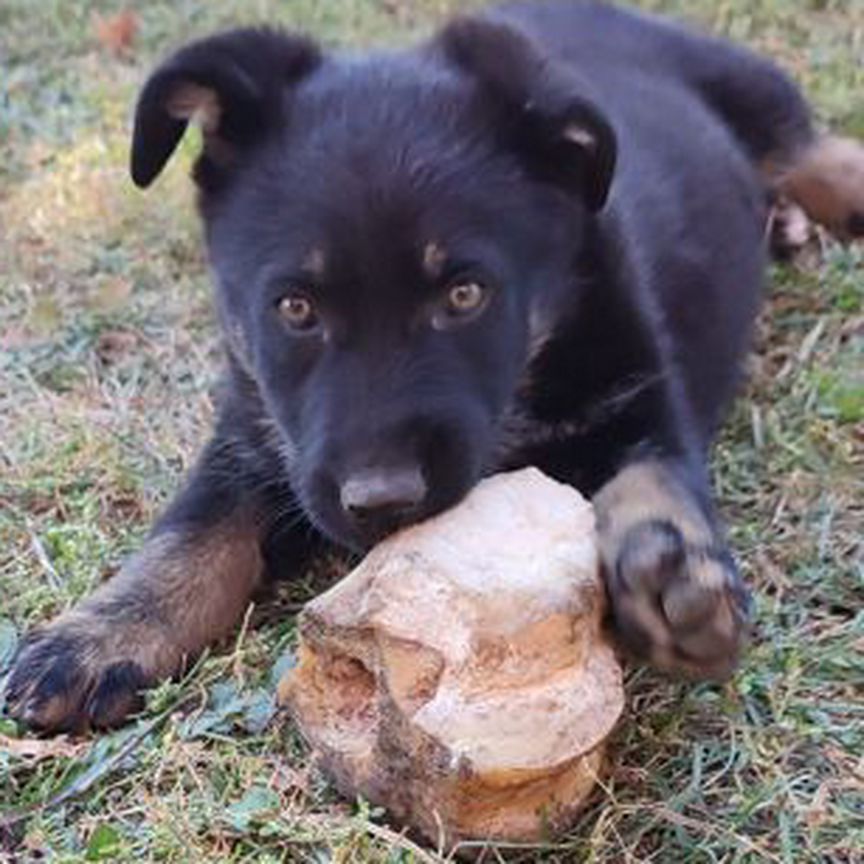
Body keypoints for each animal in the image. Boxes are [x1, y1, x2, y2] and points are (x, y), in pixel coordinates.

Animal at [8, 0, 864, 732]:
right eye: (295, 308)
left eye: (464, 295)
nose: (384, 502)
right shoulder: (256, 434)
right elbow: (190, 534)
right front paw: (101, 632)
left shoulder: (641, 400)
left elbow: (652, 482)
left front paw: (669, 581)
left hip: (759, 99)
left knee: (823, 155)